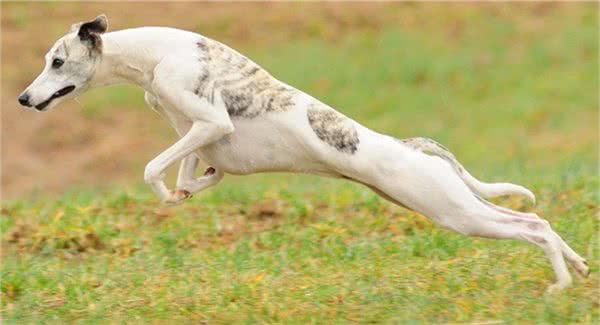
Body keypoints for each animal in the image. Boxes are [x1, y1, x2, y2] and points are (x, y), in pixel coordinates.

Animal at [18, 15, 592, 292]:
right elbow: (195, 174)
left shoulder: (210, 122)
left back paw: (561, 283)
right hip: (455, 204)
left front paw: (169, 189)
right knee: (535, 219)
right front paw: (186, 191)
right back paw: (579, 268)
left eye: (57, 61)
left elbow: (150, 169)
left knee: (533, 228)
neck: (150, 54)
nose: (23, 98)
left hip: (453, 212)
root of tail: (417, 147)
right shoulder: (201, 136)